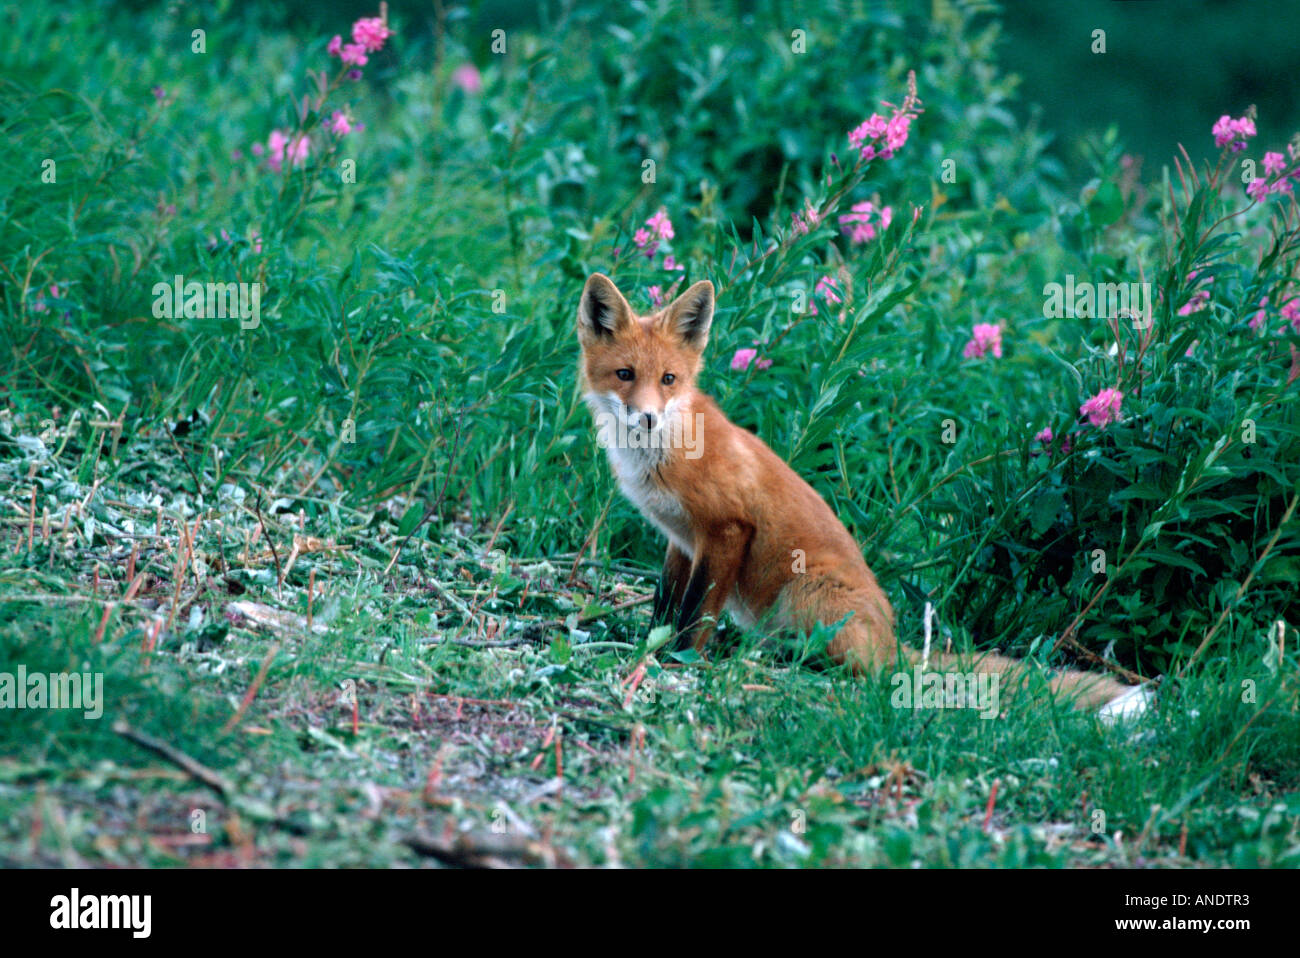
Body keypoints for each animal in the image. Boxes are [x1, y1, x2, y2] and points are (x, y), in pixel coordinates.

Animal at [577, 272, 1134, 710]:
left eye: (669, 379)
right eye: (625, 375)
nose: (647, 417)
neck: (662, 456)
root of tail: (893, 640)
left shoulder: (728, 530)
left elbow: (695, 615)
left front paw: (678, 660)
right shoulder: (682, 540)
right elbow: (664, 606)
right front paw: (649, 649)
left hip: (805, 593)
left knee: (873, 675)